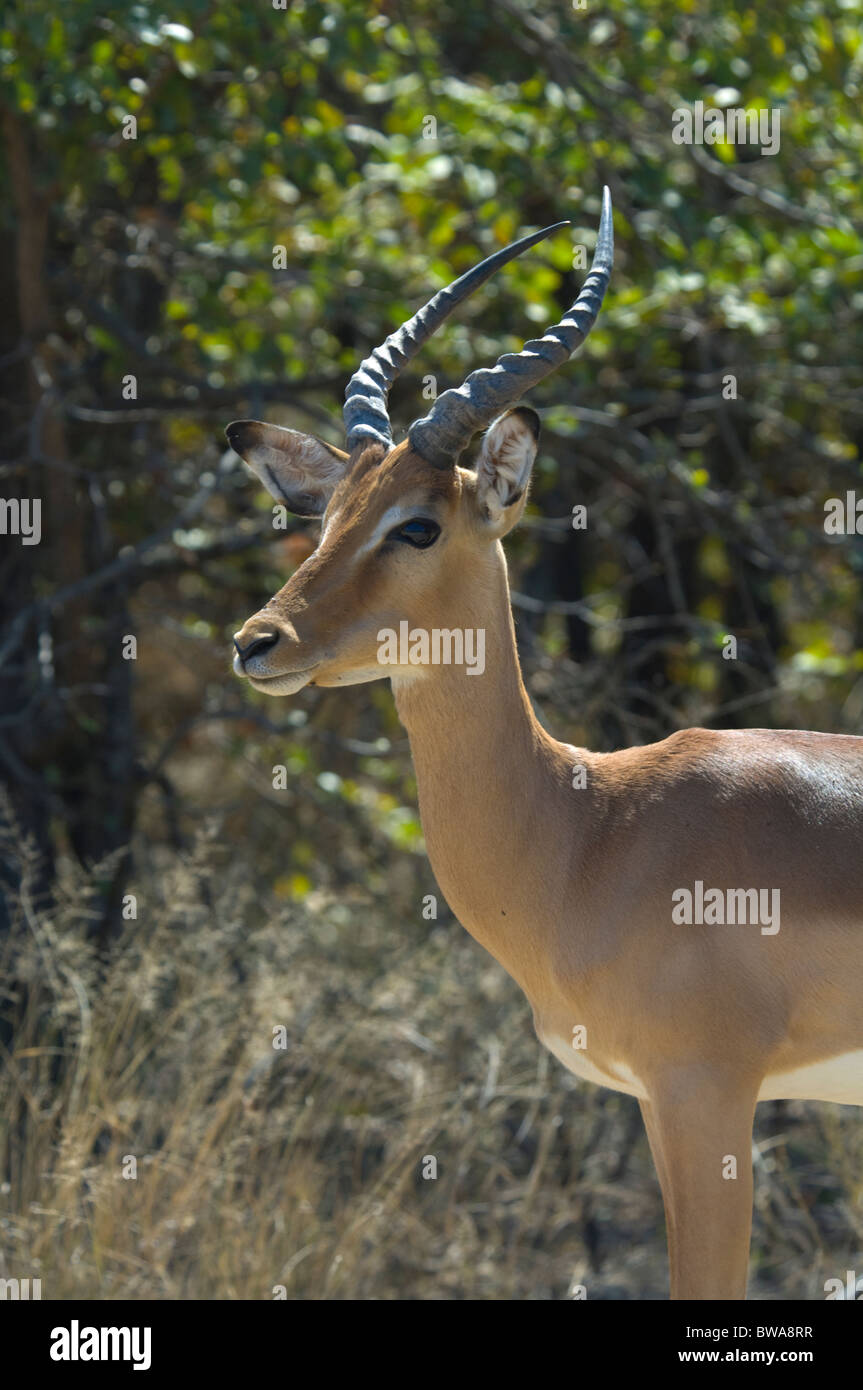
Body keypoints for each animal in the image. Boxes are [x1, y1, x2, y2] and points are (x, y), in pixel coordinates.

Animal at [227, 189, 863, 1300]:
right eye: (329, 513)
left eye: (418, 525)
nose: (258, 641)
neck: (589, 831)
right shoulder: (652, 1101)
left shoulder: (705, 1093)